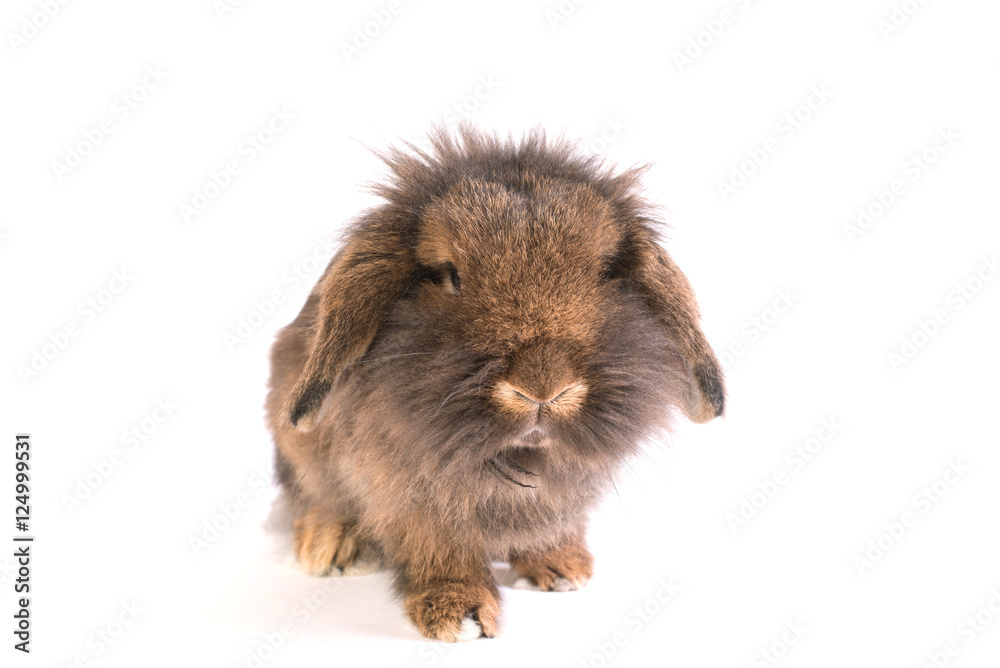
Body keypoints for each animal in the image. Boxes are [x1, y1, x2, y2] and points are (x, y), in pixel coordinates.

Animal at [265, 126, 725, 642]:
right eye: (450, 276)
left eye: (606, 271)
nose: (543, 386)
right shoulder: (411, 493)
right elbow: (440, 549)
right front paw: (459, 613)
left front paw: (562, 568)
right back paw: (332, 546)